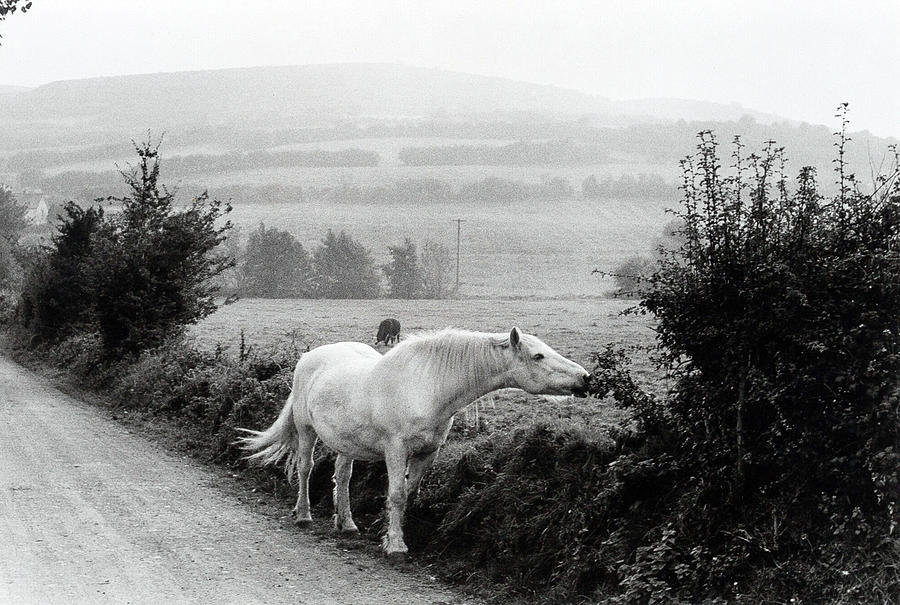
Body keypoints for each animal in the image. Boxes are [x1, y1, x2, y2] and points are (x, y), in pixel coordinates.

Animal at [238, 327, 591, 560]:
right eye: (537, 355)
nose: (585, 379)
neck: (427, 385)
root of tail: (309, 357)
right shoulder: (396, 451)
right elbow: (395, 494)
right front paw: (396, 546)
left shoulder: (427, 453)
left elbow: (408, 493)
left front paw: (385, 533)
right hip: (307, 431)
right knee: (305, 468)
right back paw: (304, 515)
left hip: (346, 443)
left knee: (343, 475)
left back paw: (346, 522)